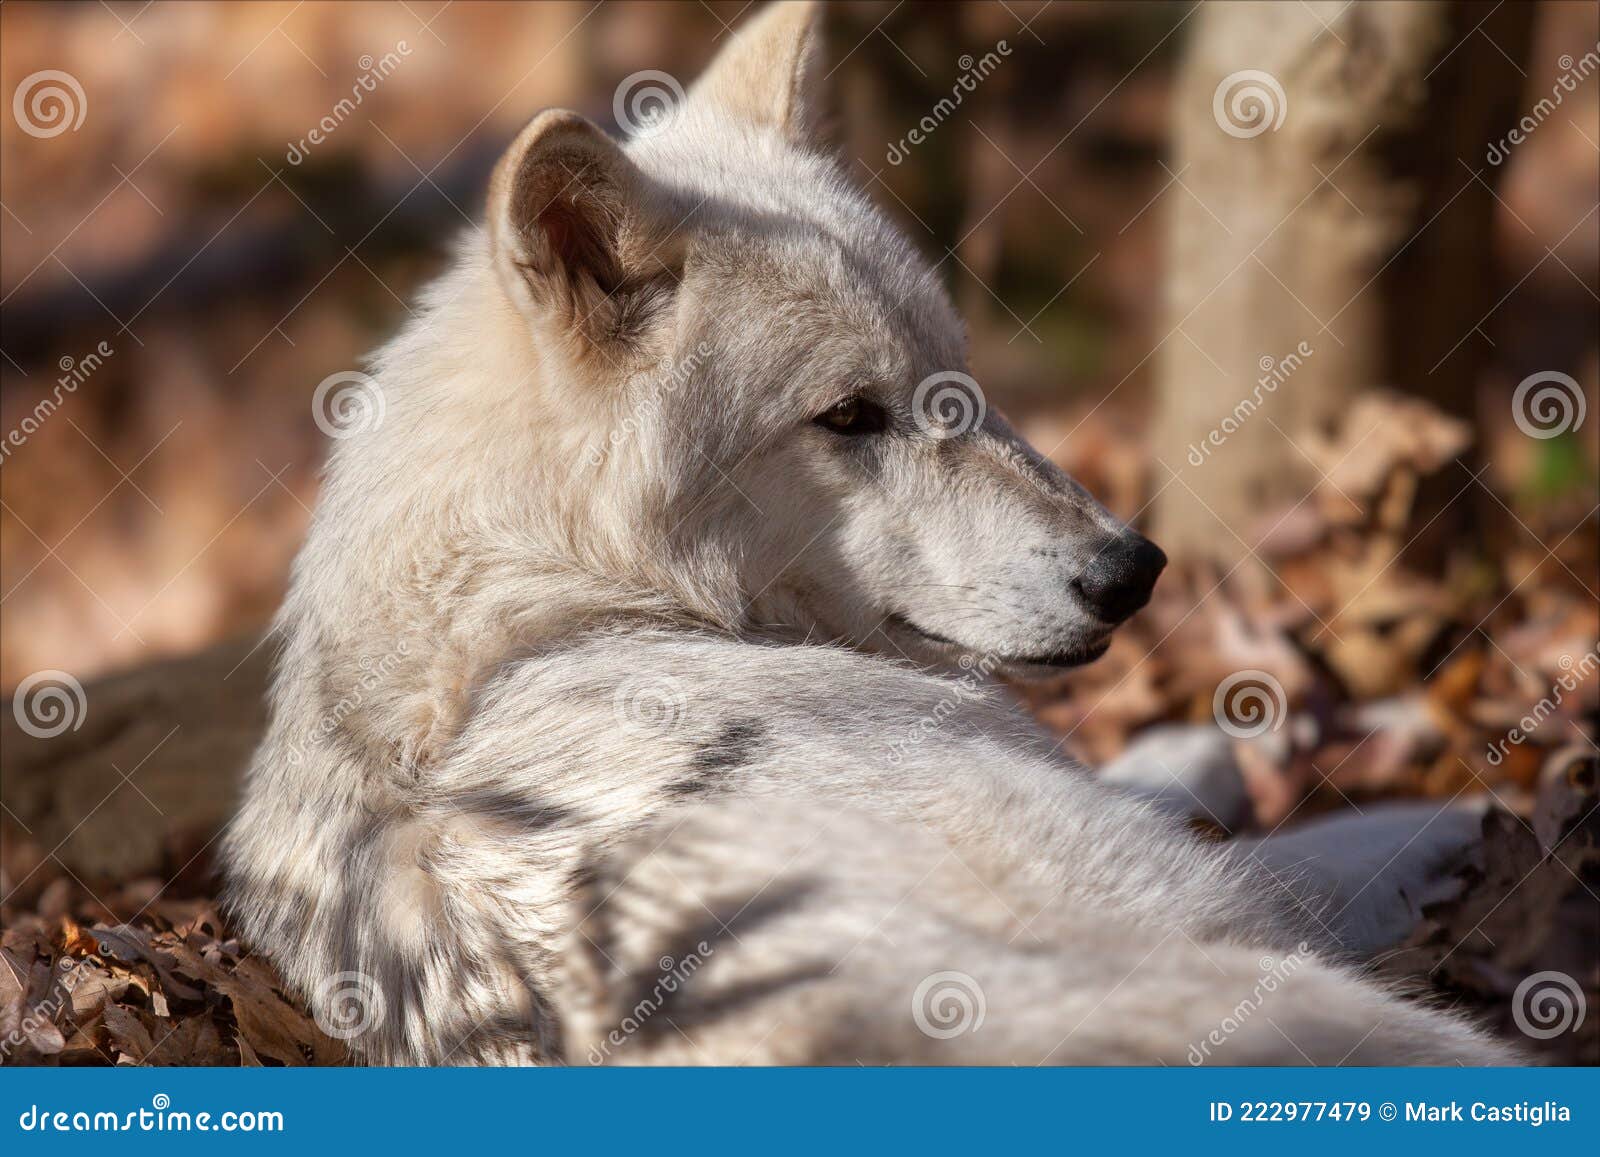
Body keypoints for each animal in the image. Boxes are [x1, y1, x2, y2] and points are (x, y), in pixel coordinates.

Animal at [223, 2, 1514, 1066]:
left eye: (959, 383)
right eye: (849, 415)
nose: (1131, 570)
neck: (544, 611)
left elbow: (1159, 772)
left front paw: (1233, 737)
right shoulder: (1221, 902)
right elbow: (1324, 850)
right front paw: (1444, 794)